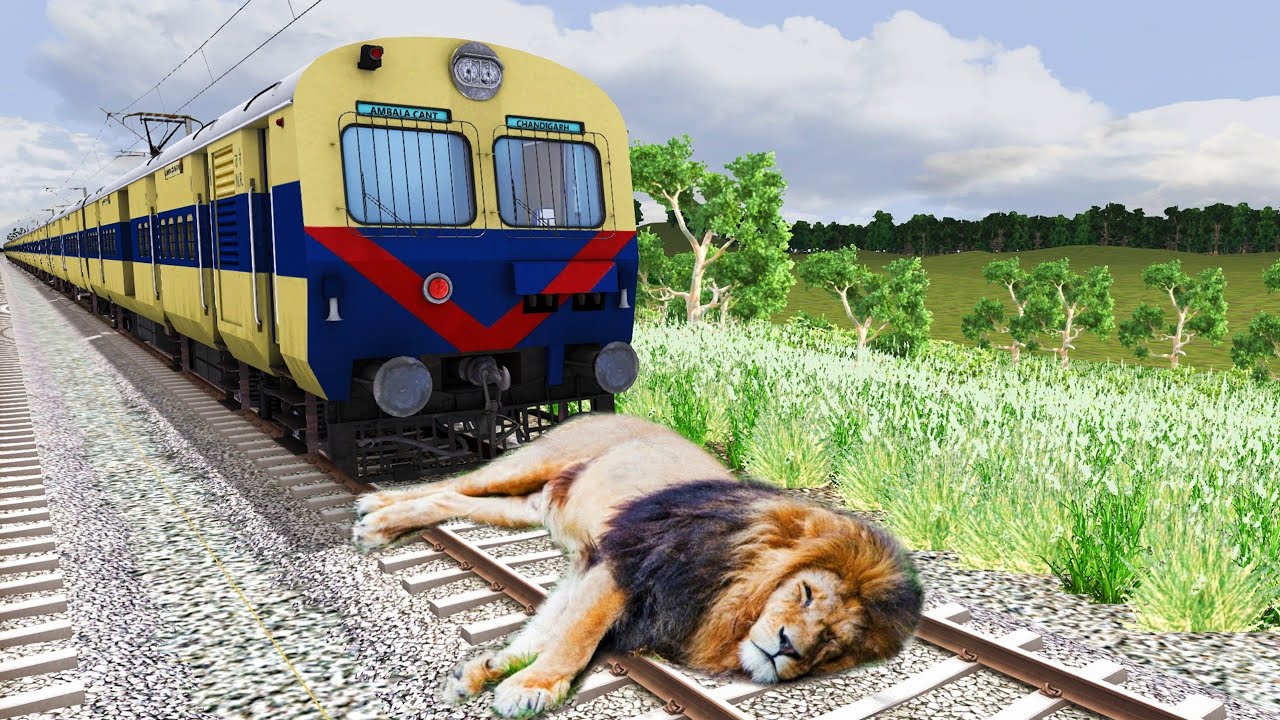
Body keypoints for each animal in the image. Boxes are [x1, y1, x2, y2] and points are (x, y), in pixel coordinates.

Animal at [352, 413, 923, 718]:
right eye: (804, 593)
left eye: (833, 645)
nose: (787, 649)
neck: (730, 591)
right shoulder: (623, 560)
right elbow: (577, 635)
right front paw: (534, 687)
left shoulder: (590, 562)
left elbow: (547, 630)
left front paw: (487, 671)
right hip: (529, 464)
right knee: (454, 481)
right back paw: (374, 511)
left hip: (526, 507)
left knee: (450, 499)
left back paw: (381, 517)